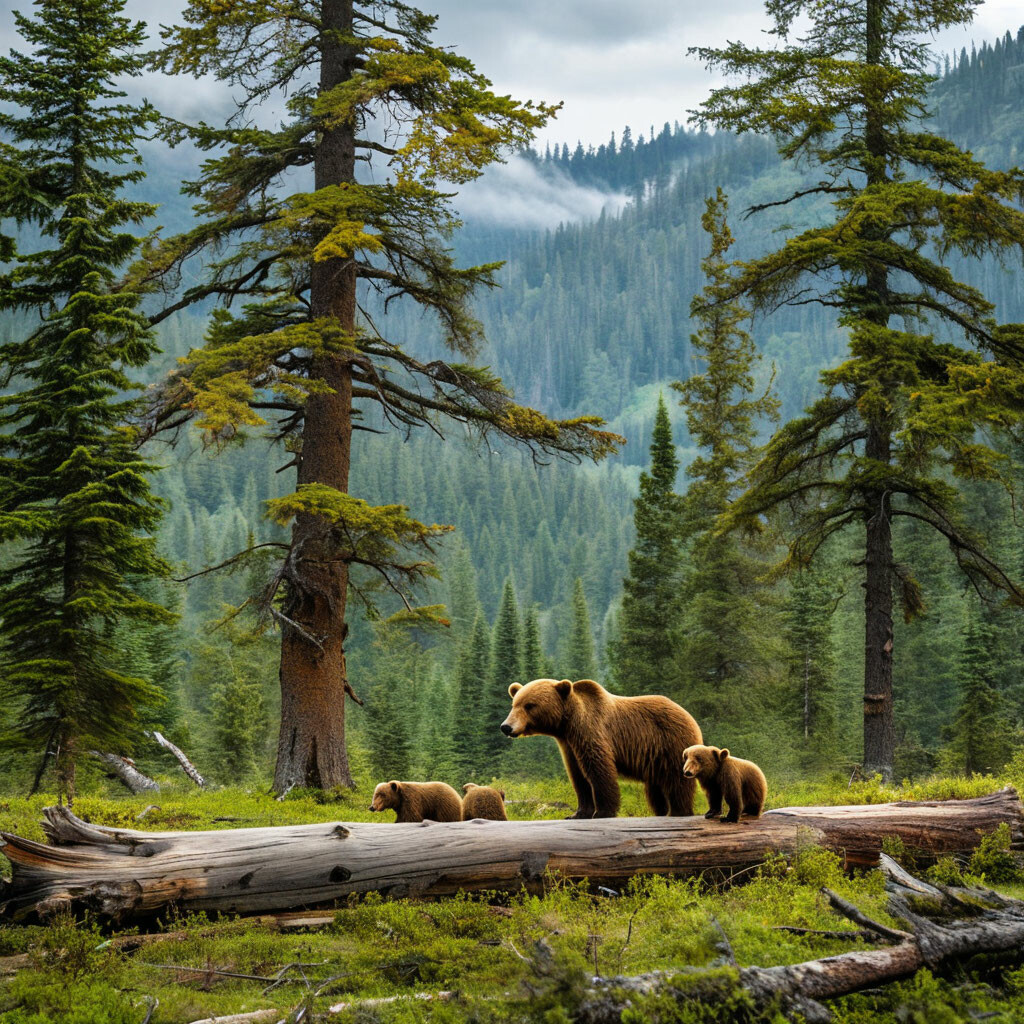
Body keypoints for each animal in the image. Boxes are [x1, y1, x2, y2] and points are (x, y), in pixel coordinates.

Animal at [500, 678, 702, 819]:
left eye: (530, 705)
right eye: (514, 704)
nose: (506, 727)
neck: (567, 725)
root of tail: (688, 715)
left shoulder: (592, 732)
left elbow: (598, 770)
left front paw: (602, 811)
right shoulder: (569, 746)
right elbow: (578, 777)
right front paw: (578, 813)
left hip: (671, 742)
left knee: (677, 781)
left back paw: (678, 811)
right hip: (655, 758)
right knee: (655, 789)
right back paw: (661, 810)